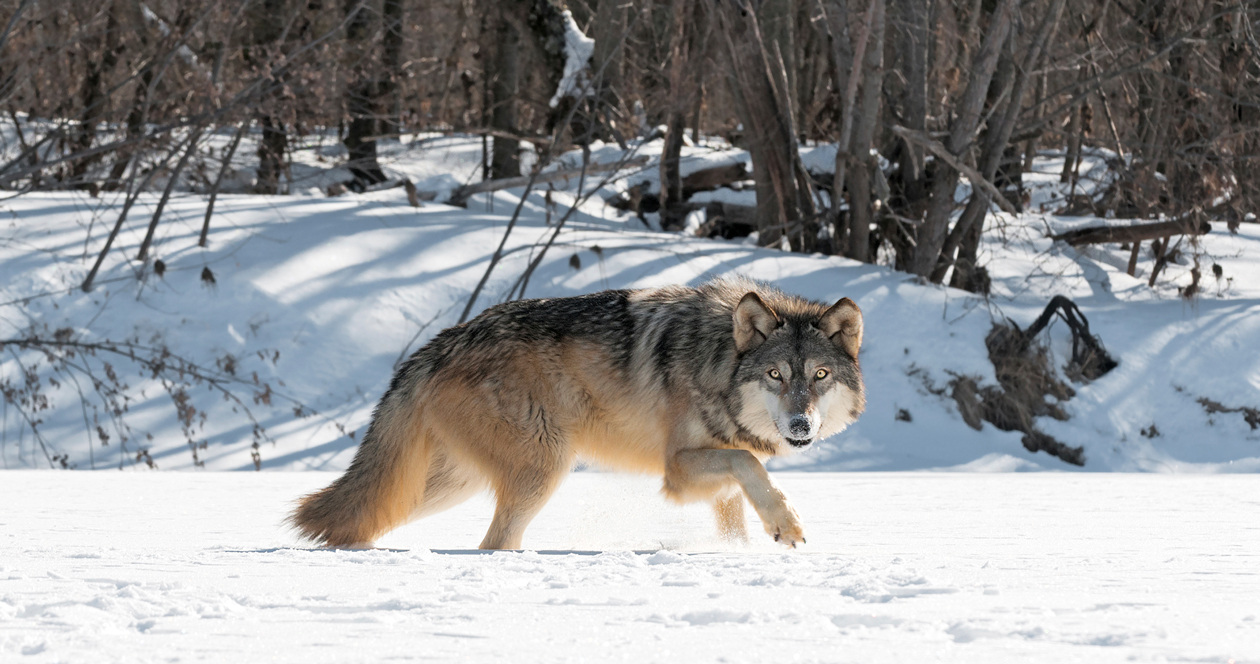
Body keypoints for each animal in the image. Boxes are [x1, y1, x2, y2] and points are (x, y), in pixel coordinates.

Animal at [290, 279, 865, 550]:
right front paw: (787, 524)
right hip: (544, 468)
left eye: (819, 375)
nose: (800, 427)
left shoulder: (715, 477)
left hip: (451, 484)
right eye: (775, 376)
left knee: (376, 514)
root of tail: (437, 344)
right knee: (493, 543)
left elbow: (740, 504)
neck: (718, 358)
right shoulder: (678, 470)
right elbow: (752, 465)